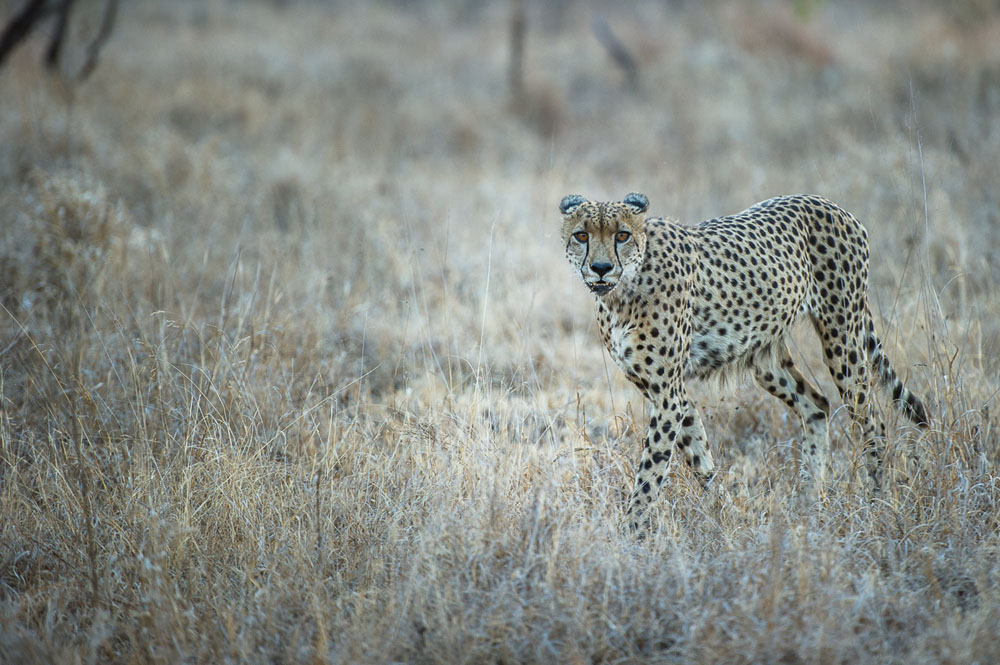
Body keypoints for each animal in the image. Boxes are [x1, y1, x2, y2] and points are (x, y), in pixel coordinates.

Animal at [559, 192, 929, 529]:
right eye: (582, 235)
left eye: (622, 235)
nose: (601, 269)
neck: (624, 289)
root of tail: (830, 203)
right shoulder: (664, 392)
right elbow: (699, 455)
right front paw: (726, 512)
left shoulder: (668, 395)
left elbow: (651, 471)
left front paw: (631, 532)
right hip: (766, 358)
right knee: (816, 404)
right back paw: (809, 501)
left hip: (843, 337)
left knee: (873, 422)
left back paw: (876, 503)